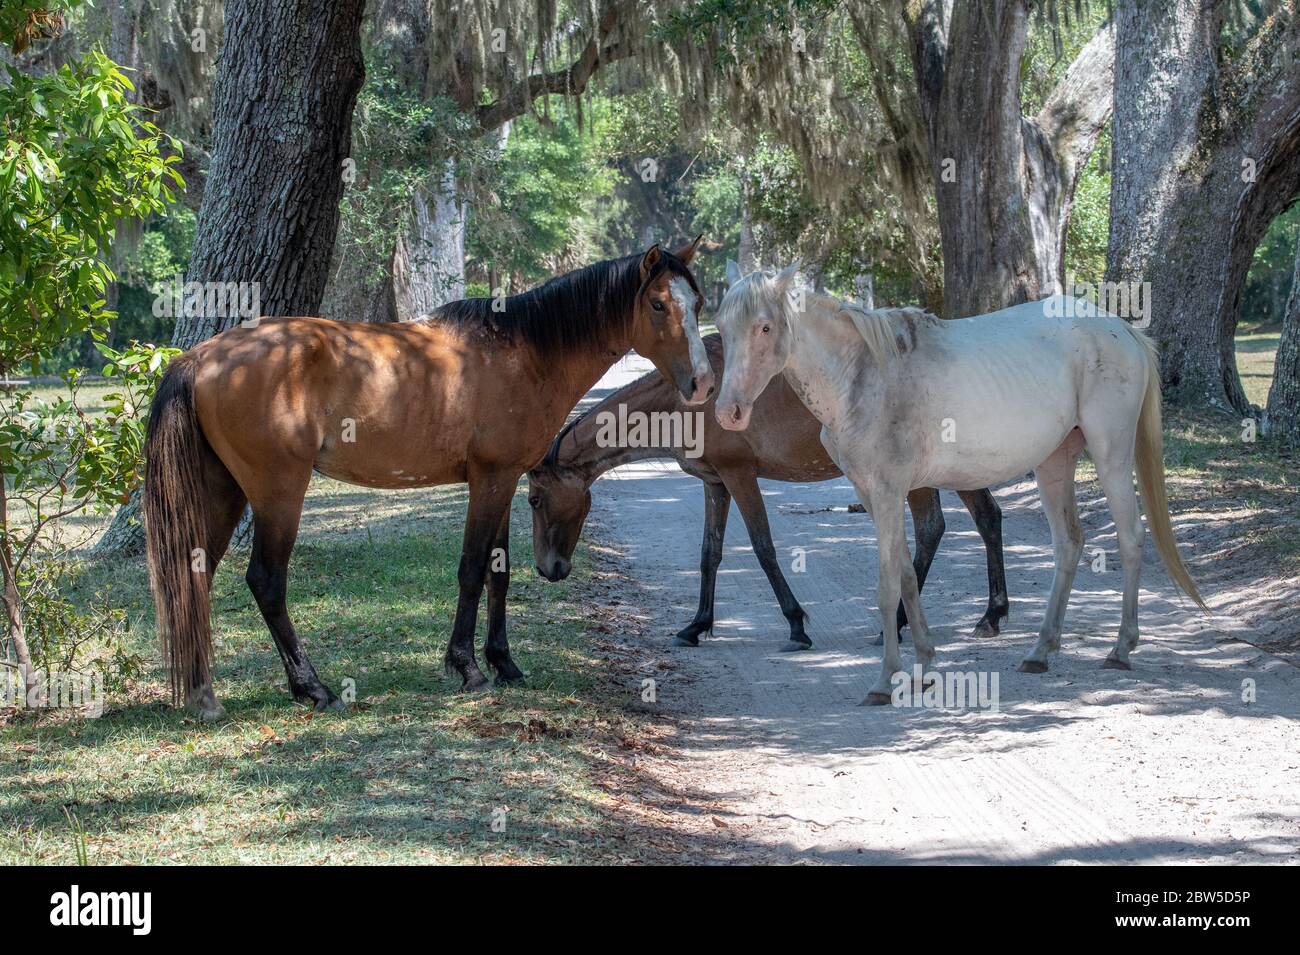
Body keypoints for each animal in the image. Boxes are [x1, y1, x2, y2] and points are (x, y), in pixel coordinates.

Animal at [144, 240, 714, 719]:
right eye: (659, 305)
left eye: (699, 302)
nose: (703, 383)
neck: (524, 350)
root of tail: (201, 356)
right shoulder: (490, 481)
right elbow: (471, 570)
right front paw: (467, 667)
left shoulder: (501, 481)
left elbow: (498, 573)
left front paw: (504, 662)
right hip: (277, 494)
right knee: (266, 580)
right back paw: (312, 687)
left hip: (223, 493)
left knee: (195, 576)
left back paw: (202, 693)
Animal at [528, 333, 1010, 651]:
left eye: (533, 499)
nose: (548, 569)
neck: (684, 401)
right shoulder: (715, 482)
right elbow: (710, 553)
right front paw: (696, 626)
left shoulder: (739, 475)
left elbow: (763, 548)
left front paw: (796, 625)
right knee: (984, 517)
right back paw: (990, 615)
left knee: (932, 528)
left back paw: (899, 621)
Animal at [712, 264, 1205, 705]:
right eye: (723, 327)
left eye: (765, 327)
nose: (728, 412)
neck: (863, 375)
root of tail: (1123, 329)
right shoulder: (874, 496)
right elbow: (907, 576)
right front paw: (924, 666)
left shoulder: (889, 493)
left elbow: (888, 585)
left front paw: (885, 680)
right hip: (1054, 462)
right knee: (1069, 544)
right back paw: (1040, 651)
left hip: (1111, 453)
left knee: (1130, 537)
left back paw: (1120, 648)